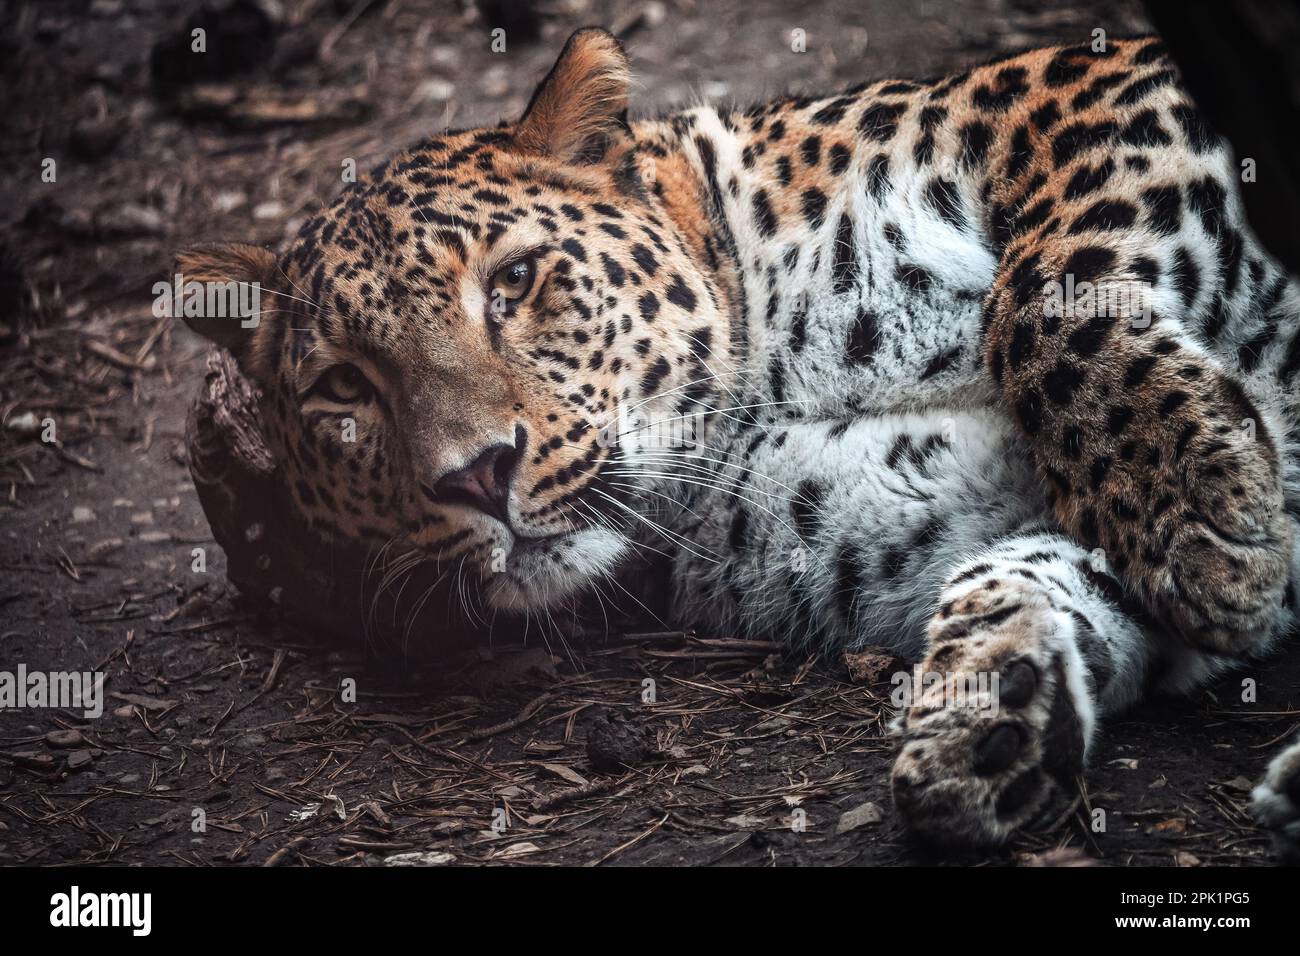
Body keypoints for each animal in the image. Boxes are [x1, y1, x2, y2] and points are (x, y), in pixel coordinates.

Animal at [177, 27, 1300, 855]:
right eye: (344, 385)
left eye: (515, 281)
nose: (477, 475)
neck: (769, 373)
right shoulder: (910, 513)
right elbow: (1031, 571)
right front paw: (985, 704)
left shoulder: (1087, 95)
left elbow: (1044, 292)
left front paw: (1200, 516)